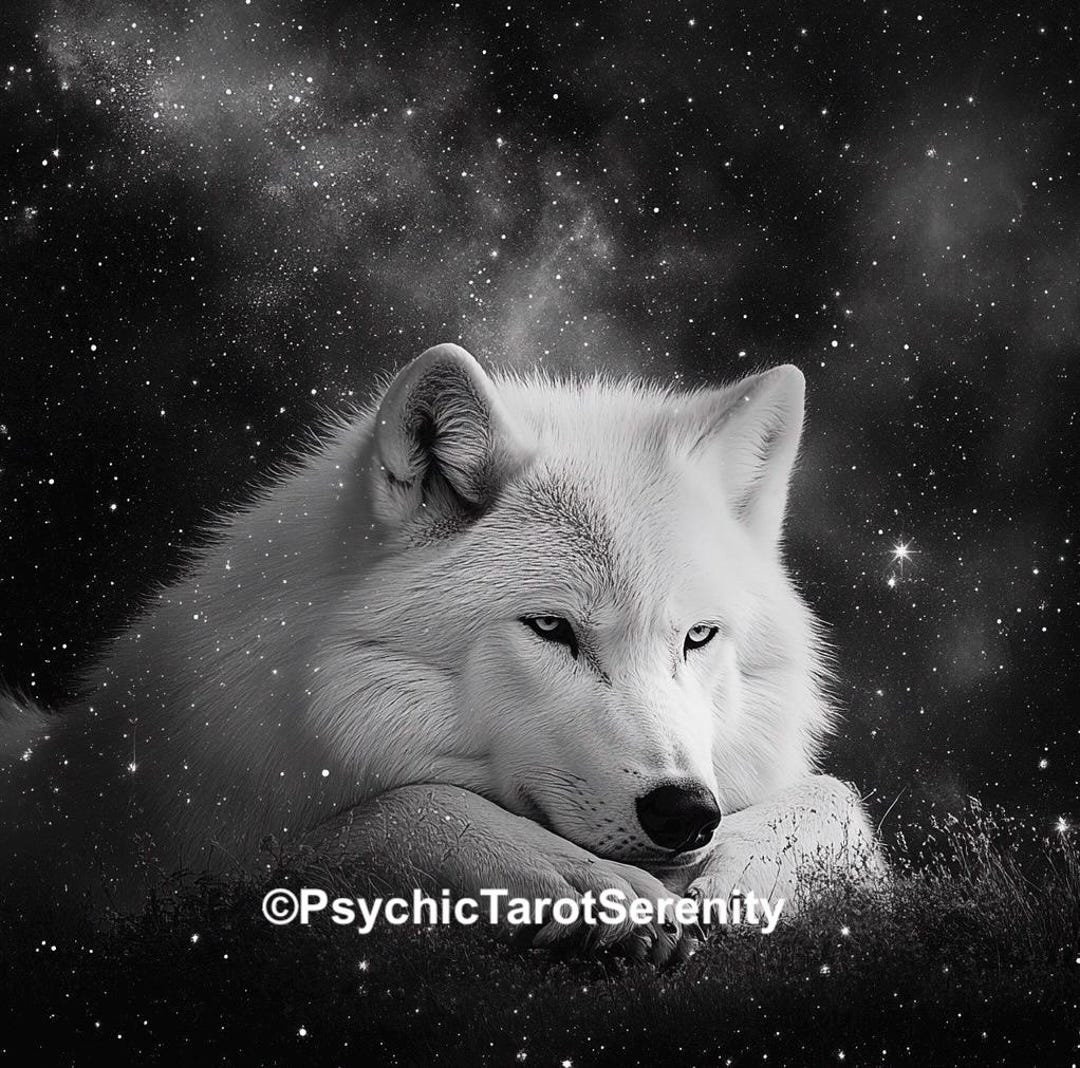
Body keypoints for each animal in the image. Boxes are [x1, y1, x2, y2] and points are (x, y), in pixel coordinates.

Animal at [1, 344, 880, 961]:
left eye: (698, 636)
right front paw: (583, 886)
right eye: (550, 628)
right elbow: (393, 811)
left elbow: (836, 795)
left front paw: (751, 865)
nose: (686, 813)